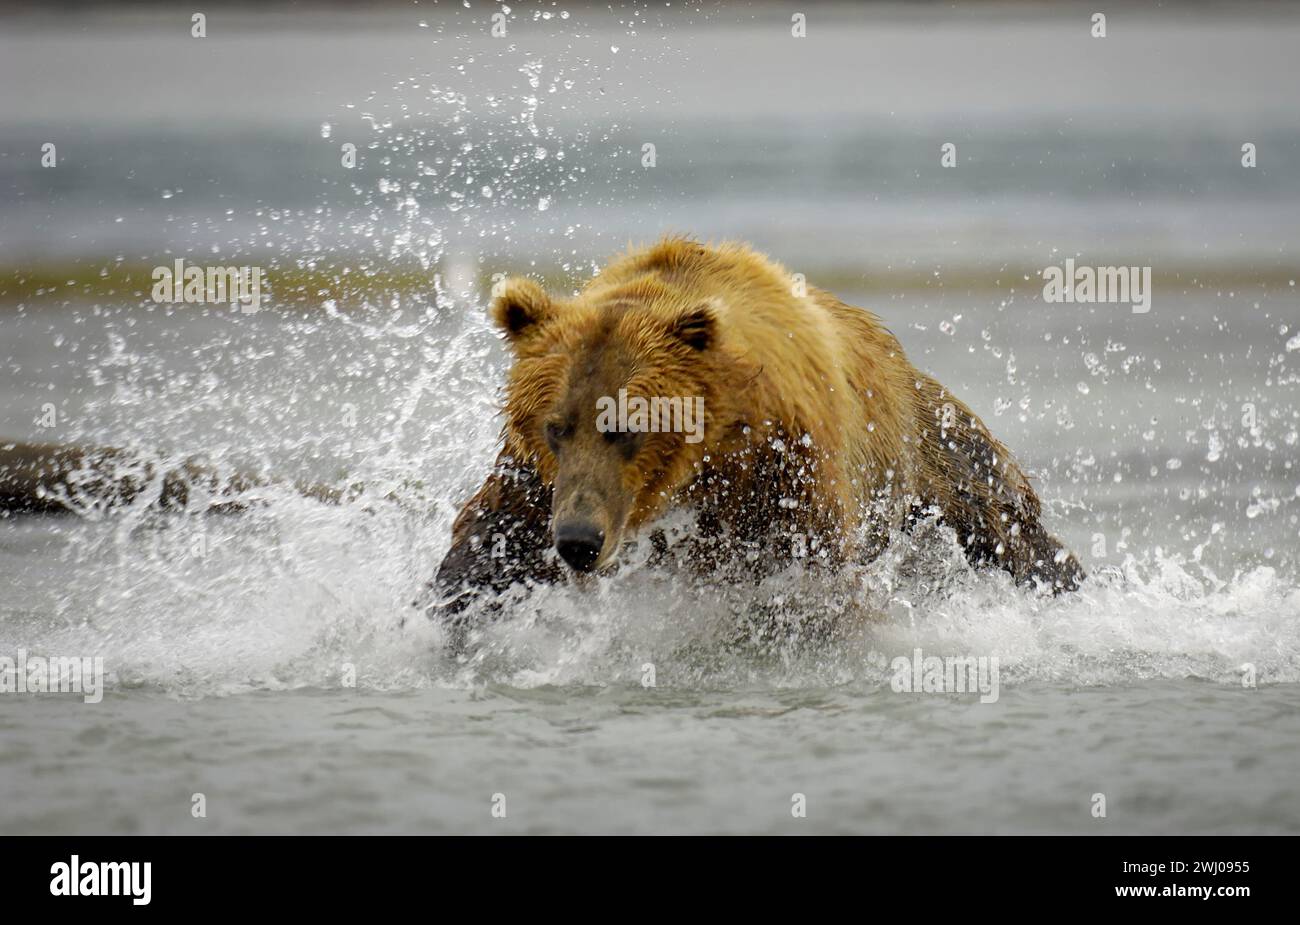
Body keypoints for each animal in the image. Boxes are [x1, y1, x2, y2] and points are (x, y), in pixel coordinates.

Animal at [432, 237, 1083, 621]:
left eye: (627, 427)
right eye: (555, 428)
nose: (578, 540)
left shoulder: (784, 467)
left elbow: (810, 575)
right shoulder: (531, 478)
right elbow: (487, 546)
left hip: (941, 458)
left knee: (1018, 539)